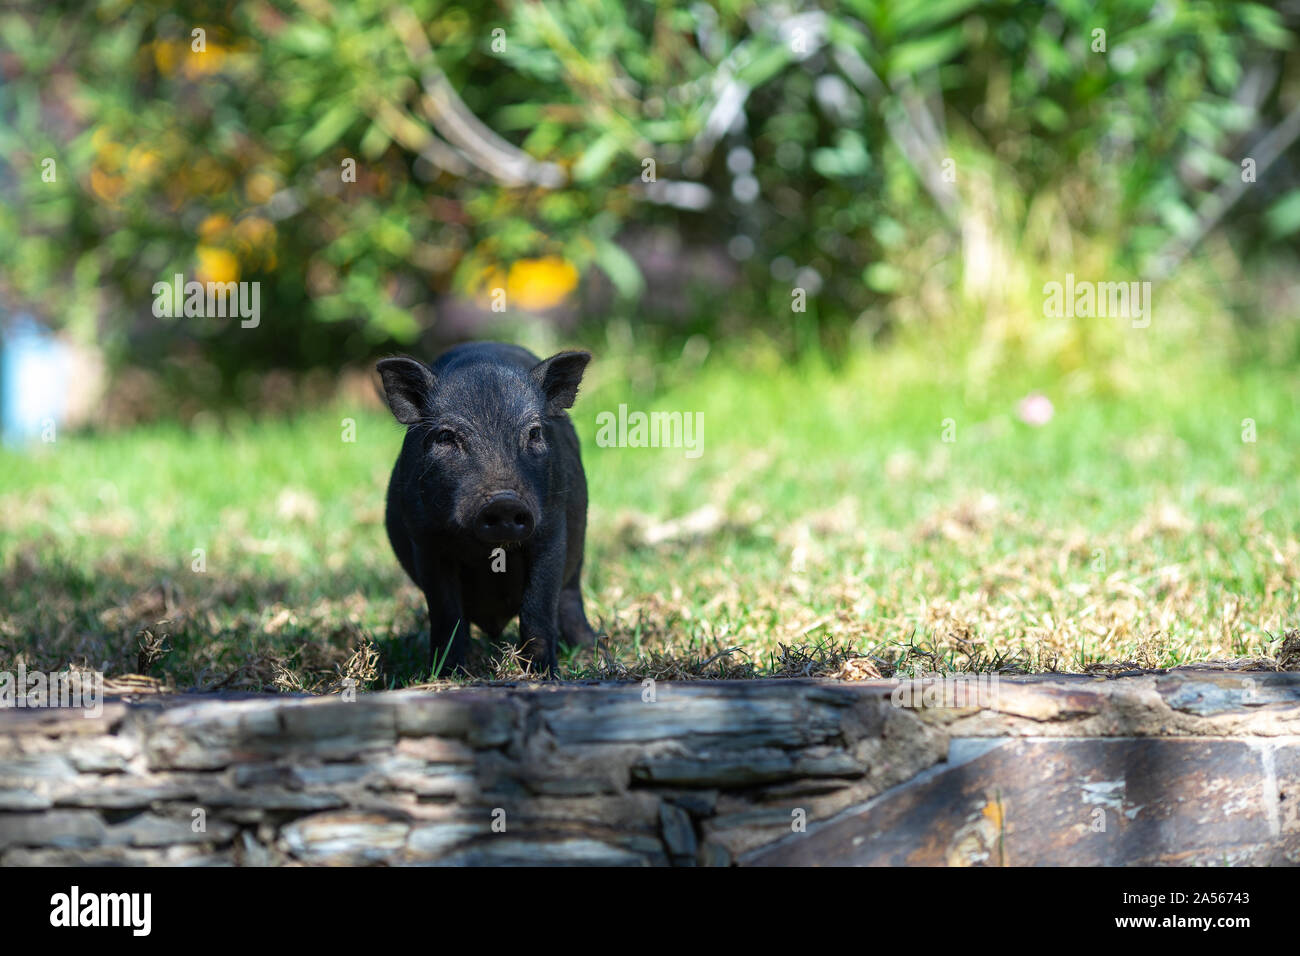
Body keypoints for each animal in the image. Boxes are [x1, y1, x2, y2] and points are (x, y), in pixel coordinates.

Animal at [378, 342, 598, 676]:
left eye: (534, 433)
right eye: (446, 436)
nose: (504, 501)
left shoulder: (551, 530)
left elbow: (538, 607)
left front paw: (543, 674)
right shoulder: (426, 540)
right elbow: (446, 616)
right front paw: (446, 675)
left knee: (570, 598)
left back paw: (594, 650)